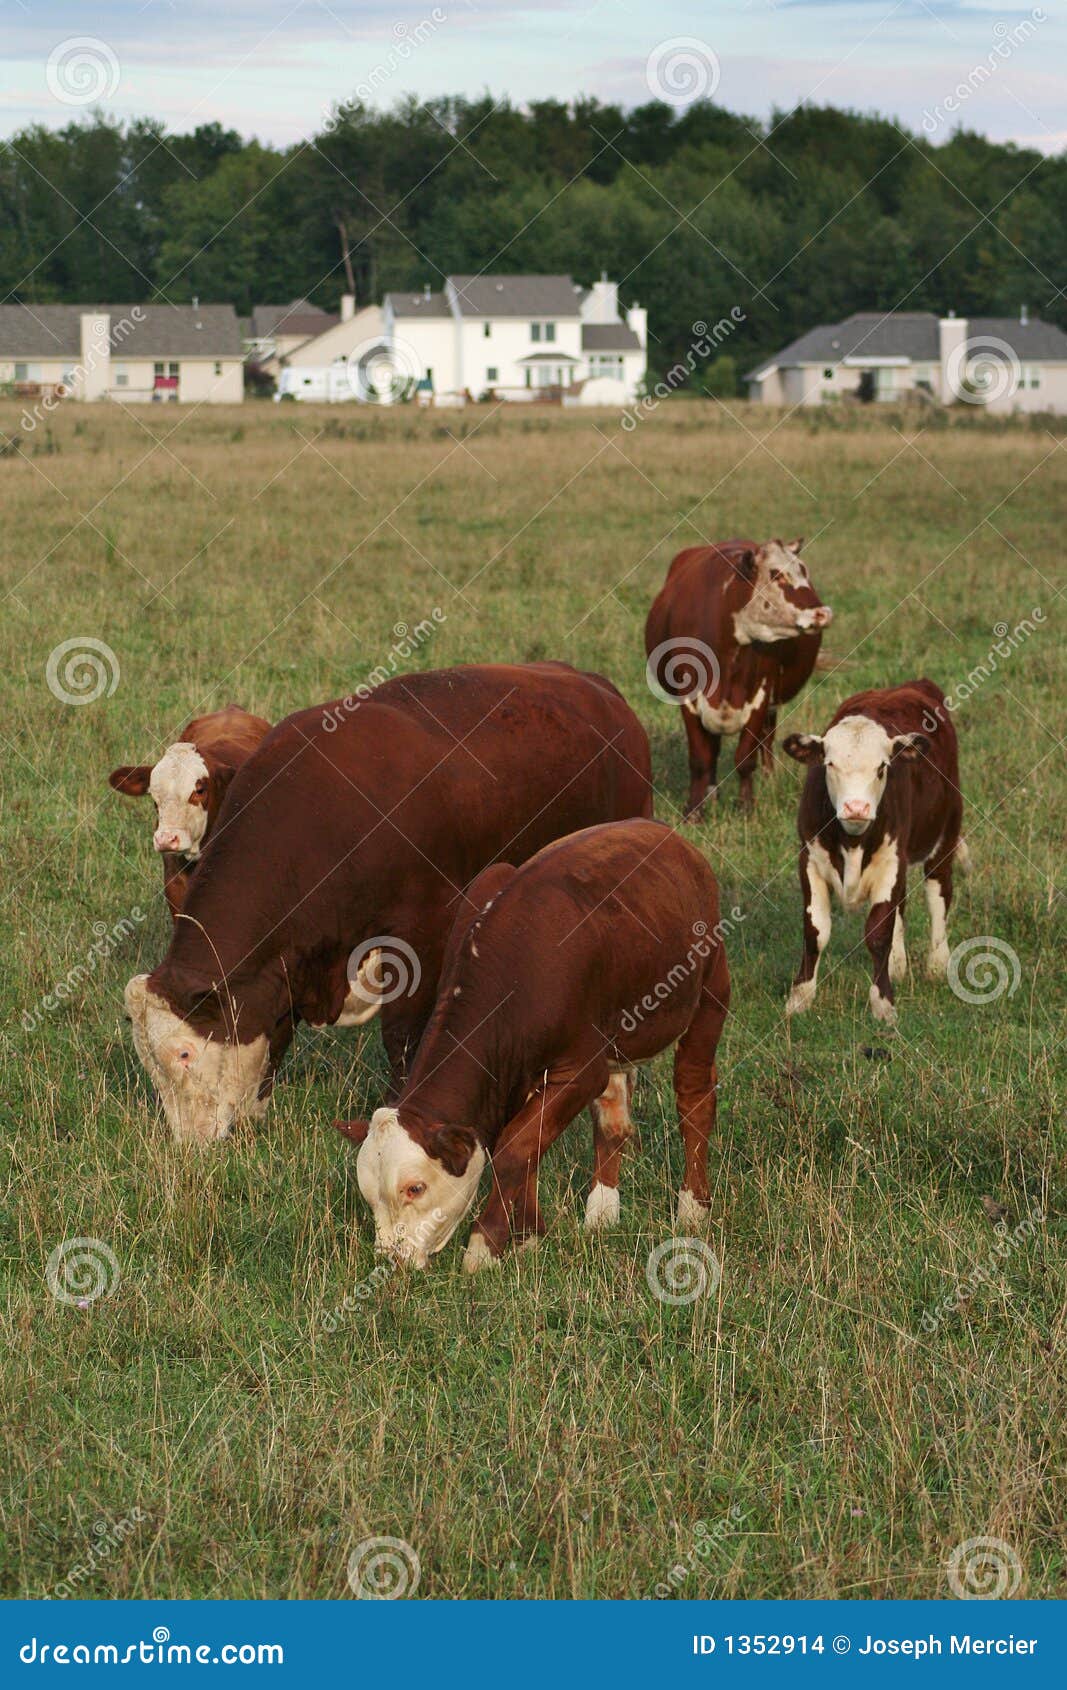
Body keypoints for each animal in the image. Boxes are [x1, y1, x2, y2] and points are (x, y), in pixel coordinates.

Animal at [335, 818, 730, 1271]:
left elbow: (514, 1147)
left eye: (414, 1188)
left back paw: (693, 1208)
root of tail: (665, 834)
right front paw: (528, 1235)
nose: (392, 1261)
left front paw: (485, 1246)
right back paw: (601, 1213)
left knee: (694, 1100)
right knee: (612, 1121)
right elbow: (527, 1145)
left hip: (711, 992)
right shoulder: (514, 1069)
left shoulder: (582, 1071)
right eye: (369, 1196)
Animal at [644, 538, 833, 816]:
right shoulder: (689, 699)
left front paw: (746, 808)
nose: (823, 613)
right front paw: (694, 811)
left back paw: (768, 778)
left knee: (766, 738)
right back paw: (711, 793)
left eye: (804, 571)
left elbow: (745, 757)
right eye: (776, 574)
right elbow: (700, 757)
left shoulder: (760, 696)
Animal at [782, 678, 968, 1025]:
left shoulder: (891, 863)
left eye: (882, 767)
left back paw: (938, 962)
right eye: (829, 764)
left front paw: (883, 1004)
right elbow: (816, 930)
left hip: (945, 836)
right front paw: (799, 999)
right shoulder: (809, 860)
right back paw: (897, 965)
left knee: (938, 895)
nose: (857, 807)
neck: (852, 842)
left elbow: (879, 932)